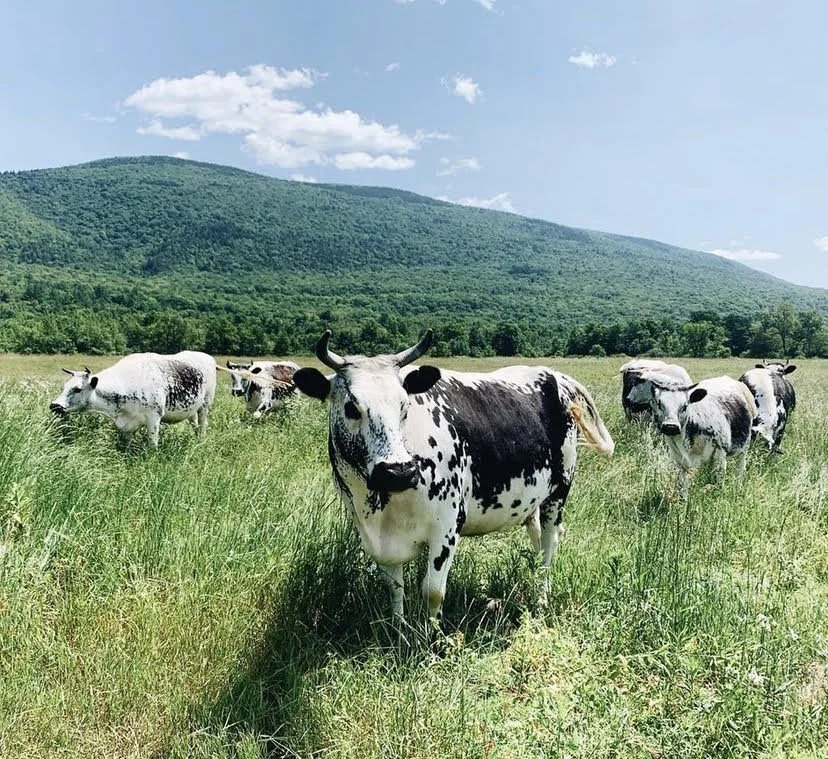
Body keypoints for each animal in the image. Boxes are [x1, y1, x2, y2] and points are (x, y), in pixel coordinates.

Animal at [49, 351, 217, 448]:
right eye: (64, 386)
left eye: (77, 389)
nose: (54, 406)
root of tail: (206, 356)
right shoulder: (126, 425)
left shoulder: (153, 417)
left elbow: (152, 445)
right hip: (192, 409)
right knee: (194, 424)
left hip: (205, 404)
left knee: (203, 424)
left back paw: (201, 441)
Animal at [293, 330, 615, 622]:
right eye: (351, 407)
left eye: (404, 405)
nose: (398, 471)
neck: (380, 505)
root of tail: (555, 375)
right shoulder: (376, 535)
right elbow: (394, 588)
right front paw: (398, 630)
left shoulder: (446, 526)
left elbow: (433, 591)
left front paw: (431, 638)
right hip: (532, 499)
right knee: (538, 539)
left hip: (558, 493)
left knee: (549, 543)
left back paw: (541, 599)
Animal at [626, 372, 756, 498]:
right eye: (659, 403)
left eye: (684, 406)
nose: (670, 426)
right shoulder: (679, 460)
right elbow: (682, 489)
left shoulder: (720, 455)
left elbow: (719, 484)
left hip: (743, 450)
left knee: (739, 471)